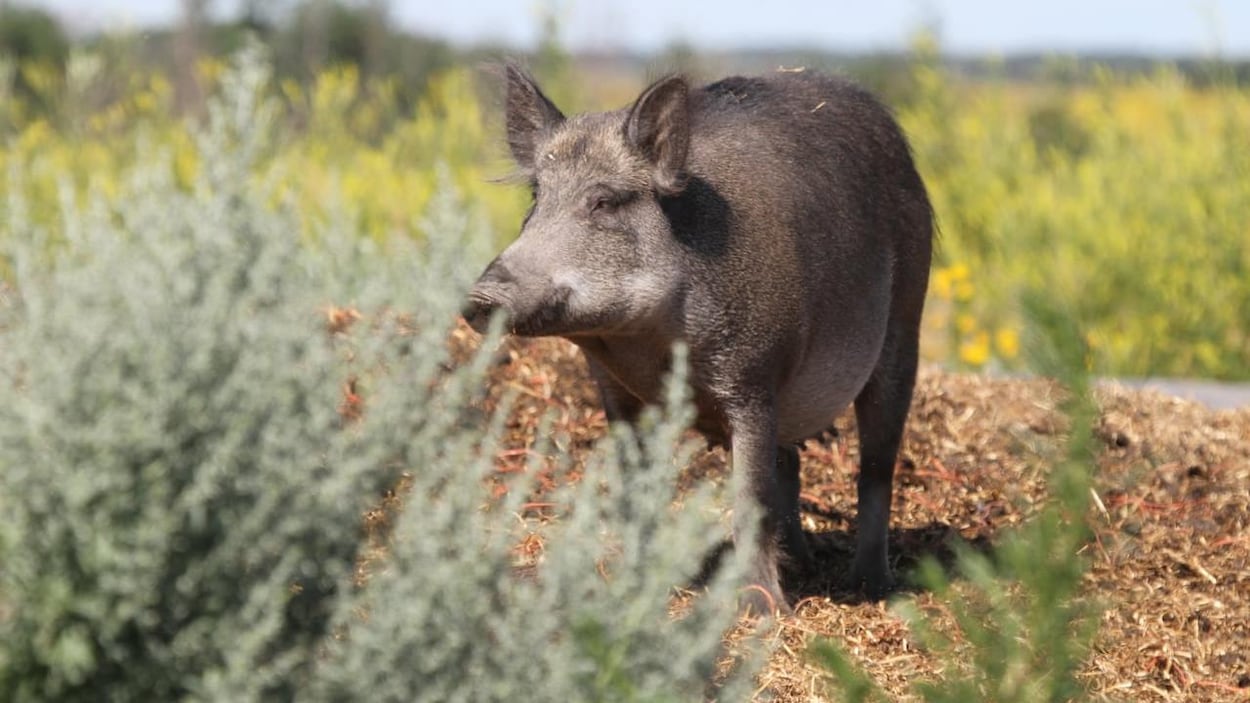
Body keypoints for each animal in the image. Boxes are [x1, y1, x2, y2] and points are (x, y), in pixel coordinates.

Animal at [464, 63, 933, 611]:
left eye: (603, 201)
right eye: (537, 196)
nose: (482, 295)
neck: (649, 344)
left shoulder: (753, 377)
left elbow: (749, 496)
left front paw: (760, 610)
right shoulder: (614, 391)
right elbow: (635, 490)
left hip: (905, 324)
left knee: (876, 467)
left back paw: (871, 587)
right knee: (791, 464)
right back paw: (801, 564)